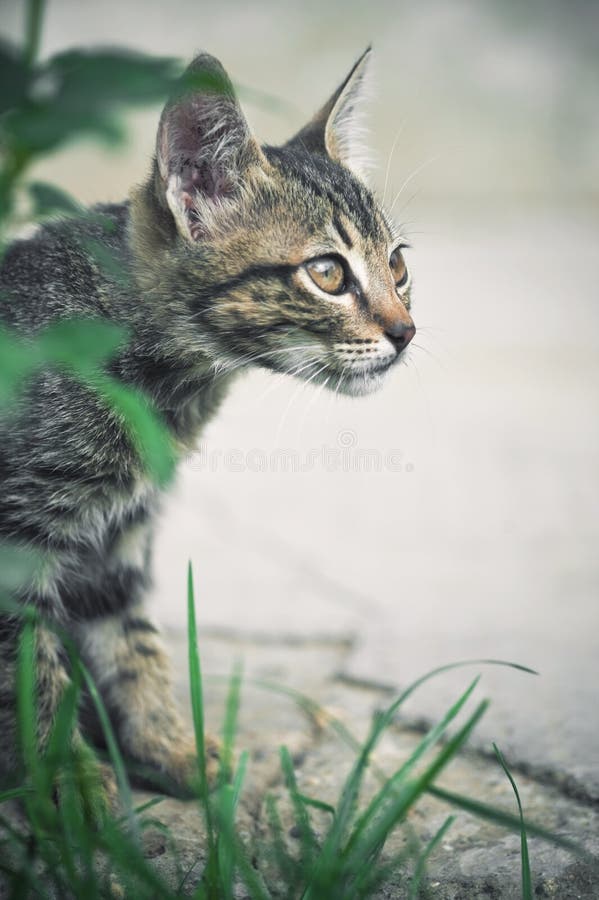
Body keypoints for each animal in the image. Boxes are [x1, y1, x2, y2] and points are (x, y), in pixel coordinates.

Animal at [0, 51, 414, 800]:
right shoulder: (15, 543)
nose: (406, 331)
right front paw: (65, 784)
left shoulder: (118, 541)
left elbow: (132, 644)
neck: (166, 391)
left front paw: (169, 747)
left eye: (397, 265)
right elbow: (29, 667)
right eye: (327, 273)